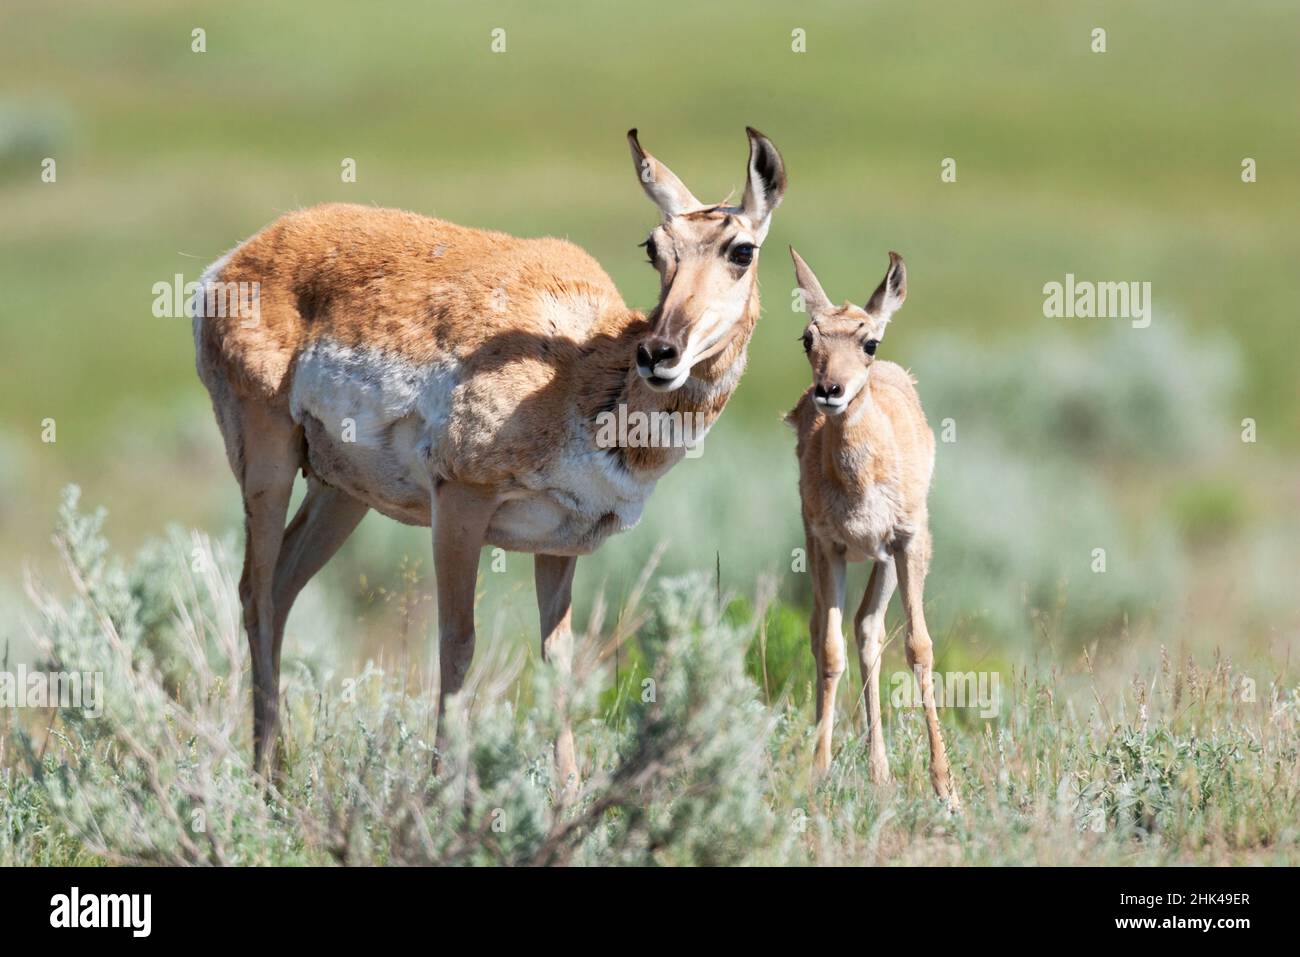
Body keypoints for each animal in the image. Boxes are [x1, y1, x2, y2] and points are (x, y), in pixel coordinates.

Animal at [191, 128, 786, 784]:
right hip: (267, 460)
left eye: (742, 251)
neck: (581, 373)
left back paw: (277, 769)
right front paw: (441, 788)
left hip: (341, 492)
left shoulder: (560, 543)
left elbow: (558, 661)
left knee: (283, 586)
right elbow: (458, 641)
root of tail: (233, 261)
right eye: (655, 248)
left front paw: (567, 795)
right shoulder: (460, 501)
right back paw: (261, 774)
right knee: (255, 590)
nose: (658, 352)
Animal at [785, 248, 957, 805]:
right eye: (808, 337)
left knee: (869, 629)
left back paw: (880, 771)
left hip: (883, 562)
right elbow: (830, 650)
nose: (830, 391)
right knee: (830, 631)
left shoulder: (906, 543)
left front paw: (945, 786)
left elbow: (919, 648)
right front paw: (817, 770)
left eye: (869, 341)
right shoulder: (830, 547)